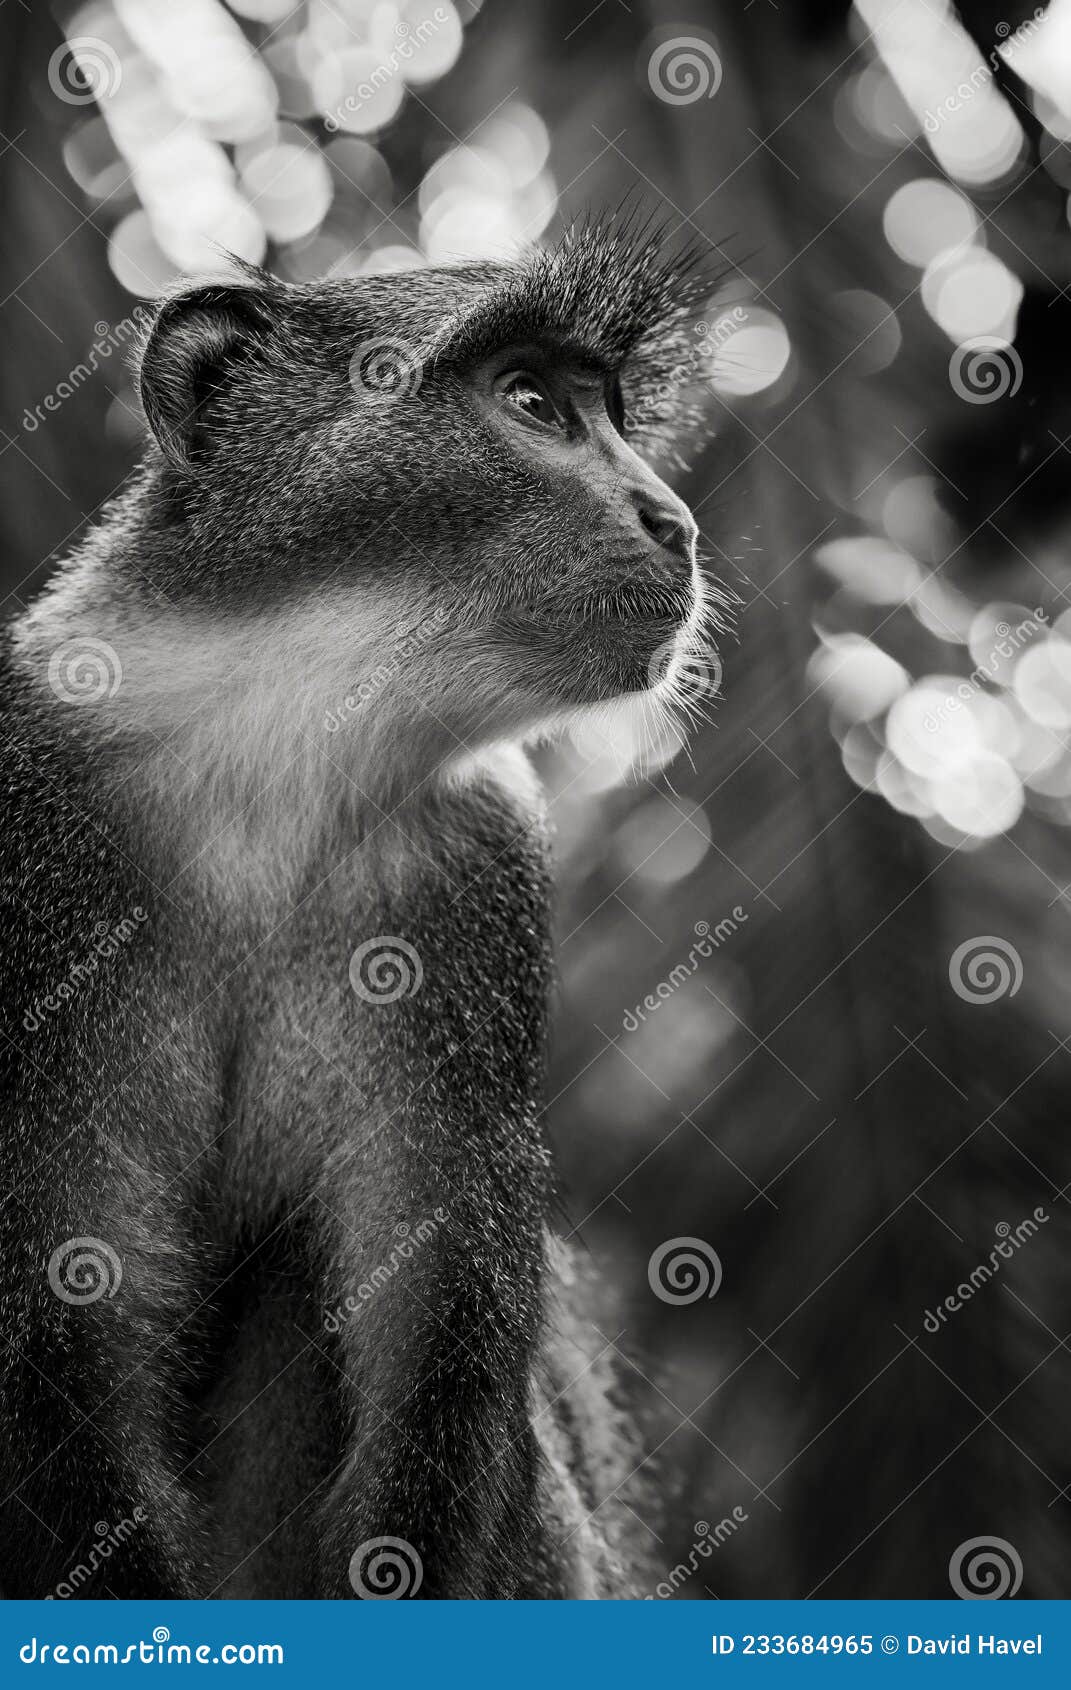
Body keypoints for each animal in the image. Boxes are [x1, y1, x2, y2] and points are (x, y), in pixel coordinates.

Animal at [0, 217, 725, 1599]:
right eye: (534, 404)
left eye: (610, 412)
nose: (674, 522)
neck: (282, 749)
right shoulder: (34, 807)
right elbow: (61, 1301)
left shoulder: (472, 881)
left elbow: (436, 1324)